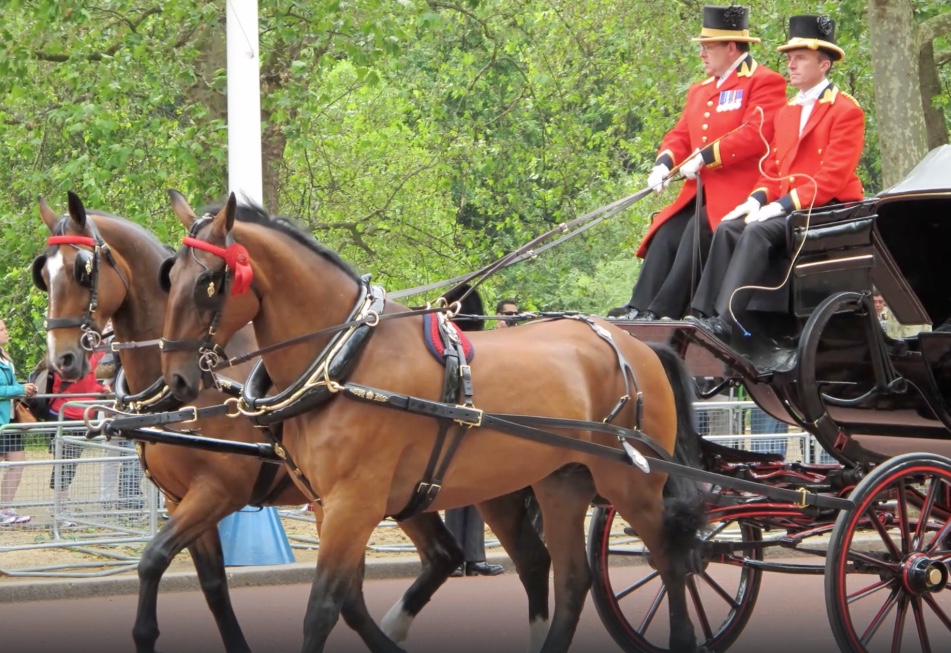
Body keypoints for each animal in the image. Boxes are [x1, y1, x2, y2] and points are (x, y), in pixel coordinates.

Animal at [31, 191, 552, 652]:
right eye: (45, 274)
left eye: (81, 270)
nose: (63, 360)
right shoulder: (185, 498)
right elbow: (213, 584)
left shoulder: (220, 492)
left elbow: (153, 558)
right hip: (413, 492)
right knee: (447, 558)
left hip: (484, 486)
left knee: (522, 560)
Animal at [158, 191, 708, 648]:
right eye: (170, 277)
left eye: (208, 281)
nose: (178, 381)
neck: (343, 360)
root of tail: (639, 345)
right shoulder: (324, 504)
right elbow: (345, 601)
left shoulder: (353, 503)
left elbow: (322, 610)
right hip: (561, 483)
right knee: (572, 578)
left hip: (630, 484)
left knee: (670, 560)